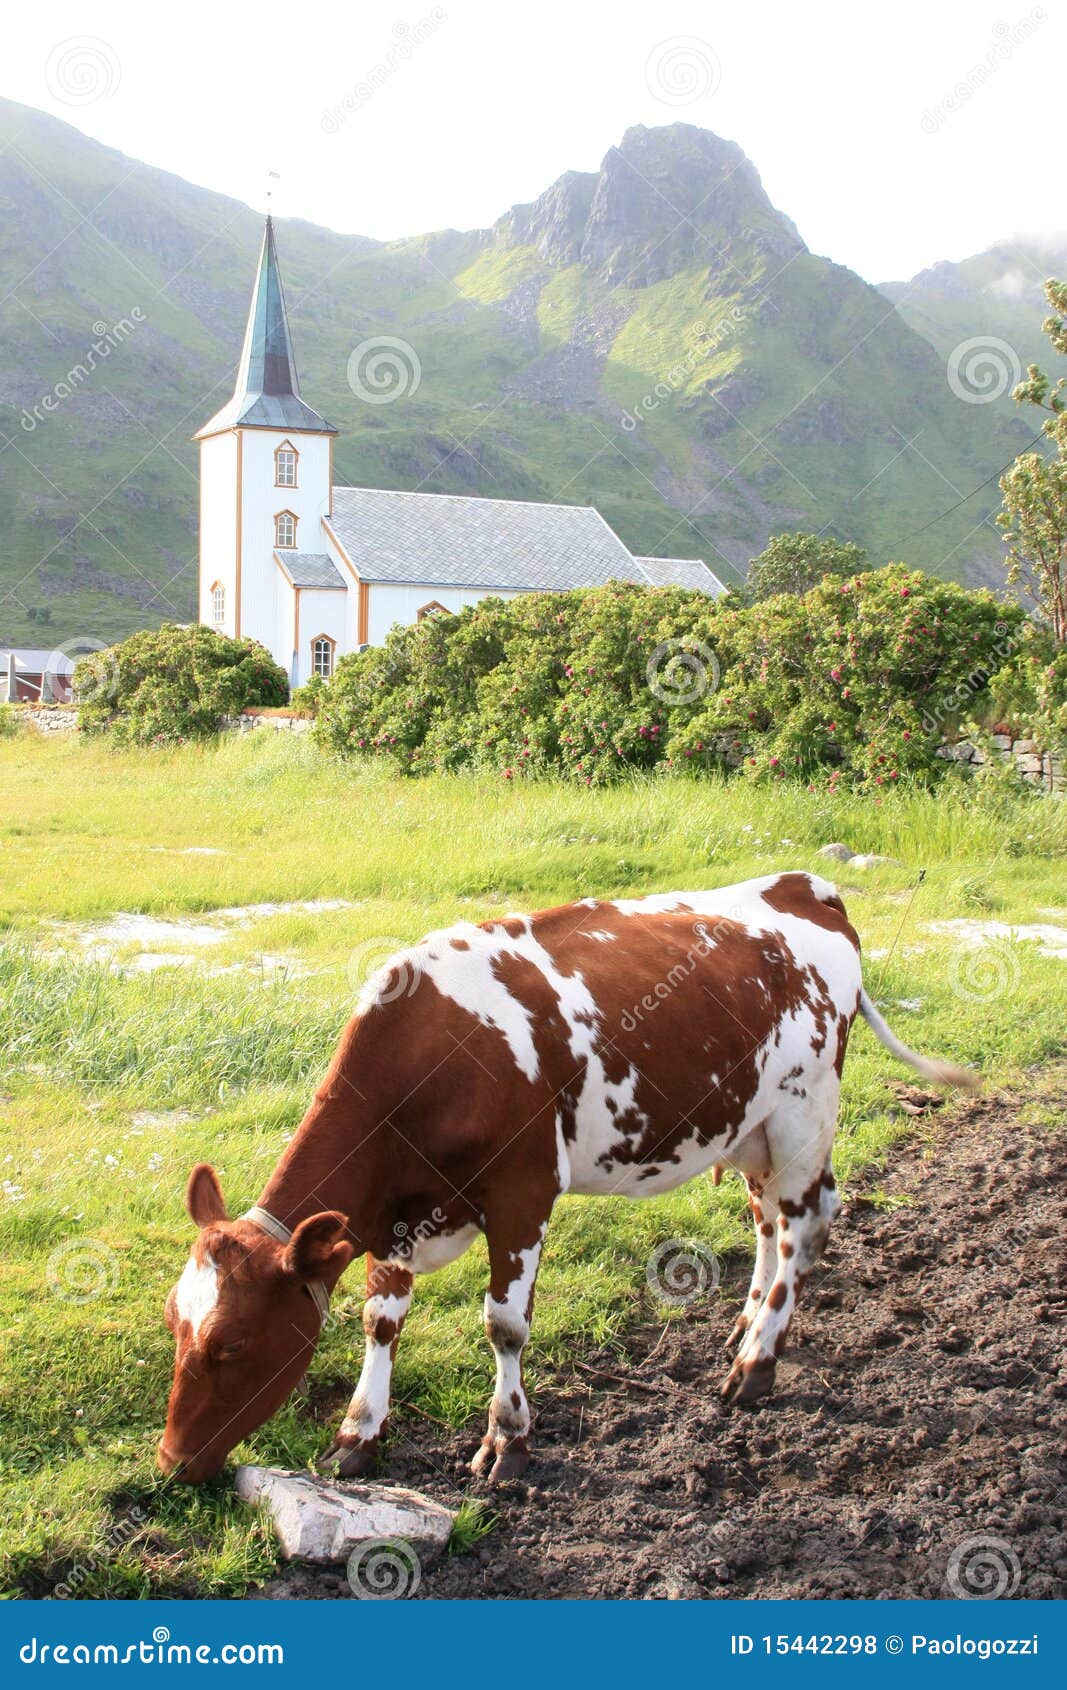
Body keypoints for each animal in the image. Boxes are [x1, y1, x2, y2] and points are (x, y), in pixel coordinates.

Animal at [158, 871, 976, 1485]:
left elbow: (504, 1324)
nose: (170, 1462)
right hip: (750, 1124)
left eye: (231, 1345)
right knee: (768, 1220)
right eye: (174, 1324)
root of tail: (804, 886)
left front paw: (507, 1441)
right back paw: (743, 1326)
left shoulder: (523, 1192)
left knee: (803, 1224)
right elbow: (380, 1319)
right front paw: (358, 1433)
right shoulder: (392, 1210)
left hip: (806, 1111)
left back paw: (755, 1364)